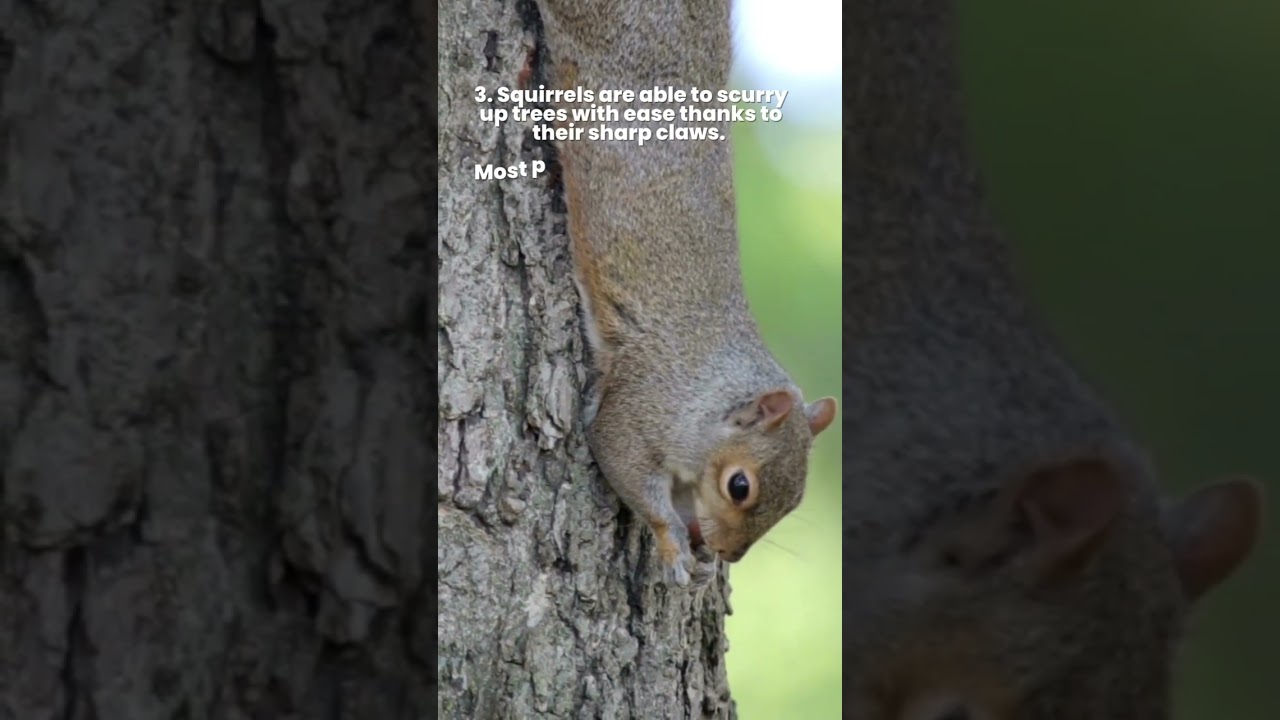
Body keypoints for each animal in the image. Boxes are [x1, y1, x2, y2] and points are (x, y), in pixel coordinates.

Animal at [528, 0, 838, 588]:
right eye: (739, 486)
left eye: (793, 504)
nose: (729, 555)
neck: (706, 391)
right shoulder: (643, 402)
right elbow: (622, 460)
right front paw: (673, 545)